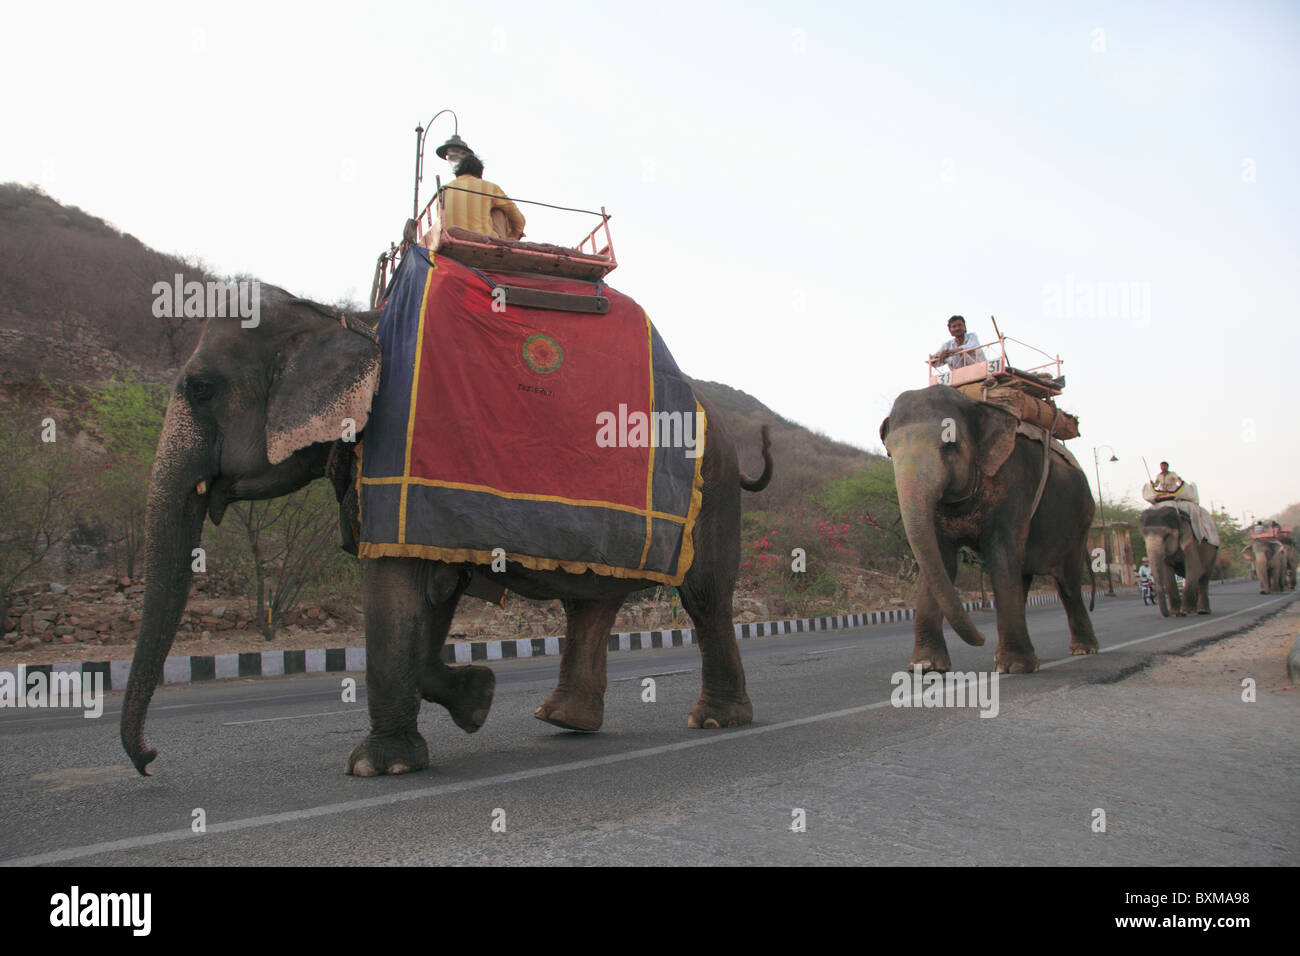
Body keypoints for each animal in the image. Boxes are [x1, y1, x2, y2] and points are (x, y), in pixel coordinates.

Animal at [120, 294, 772, 777]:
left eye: (200, 388)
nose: (151, 760)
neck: (342, 317)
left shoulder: (393, 451)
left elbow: (396, 584)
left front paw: (379, 768)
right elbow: (431, 594)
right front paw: (477, 700)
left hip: (712, 491)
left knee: (703, 597)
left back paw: (714, 721)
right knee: (591, 602)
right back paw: (564, 721)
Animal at [879, 386, 1099, 675]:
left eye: (950, 444)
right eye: (890, 453)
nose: (981, 639)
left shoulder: (1014, 482)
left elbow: (1000, 553)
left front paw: (1015, 667)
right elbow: (940, 560)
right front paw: (925, 667)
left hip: (1081, 518)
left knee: (1067, 583)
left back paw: (1083, 649)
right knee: (1024, 574)